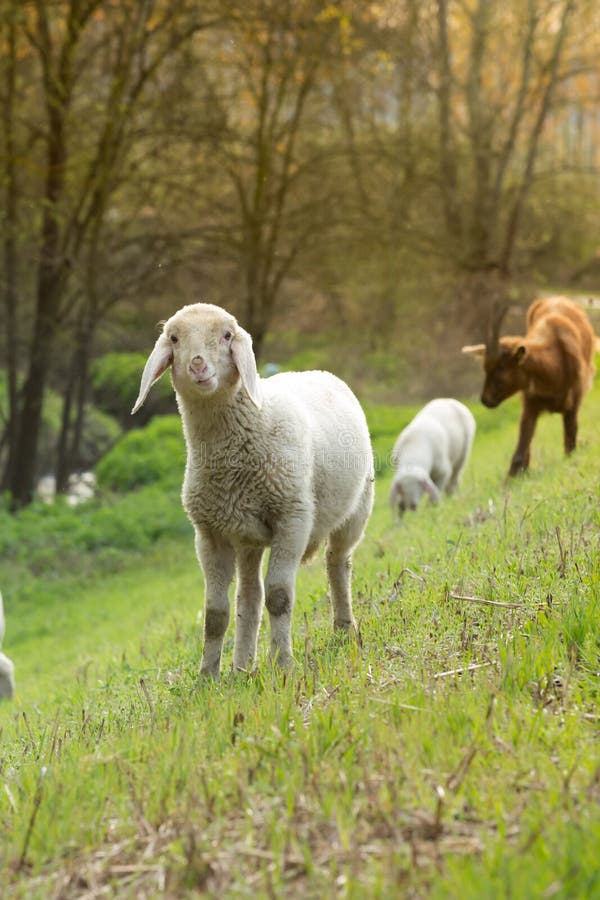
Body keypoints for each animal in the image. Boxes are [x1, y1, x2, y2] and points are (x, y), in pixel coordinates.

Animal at [132, 303, 374, 676]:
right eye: (173, 338)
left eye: (227, 335)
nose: (198, 365)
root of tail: (318, 371)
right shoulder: (210, 535)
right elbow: (216, 614)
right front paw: (207, 676)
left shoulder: (292, 518)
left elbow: (279, 596)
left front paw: (283, 664)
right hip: (246, 535)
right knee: (249, 595)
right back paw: (242, 666)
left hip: (355, 510)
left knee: (338, 564)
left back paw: (344, 628)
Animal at [462, 296, 597, 475]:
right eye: (485, 369)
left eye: (501, 369)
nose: (485, 399)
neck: (554, 367)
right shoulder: (530, 405)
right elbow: (520, 452)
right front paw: (513, 478)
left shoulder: (573, 403)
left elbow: (570, 442)